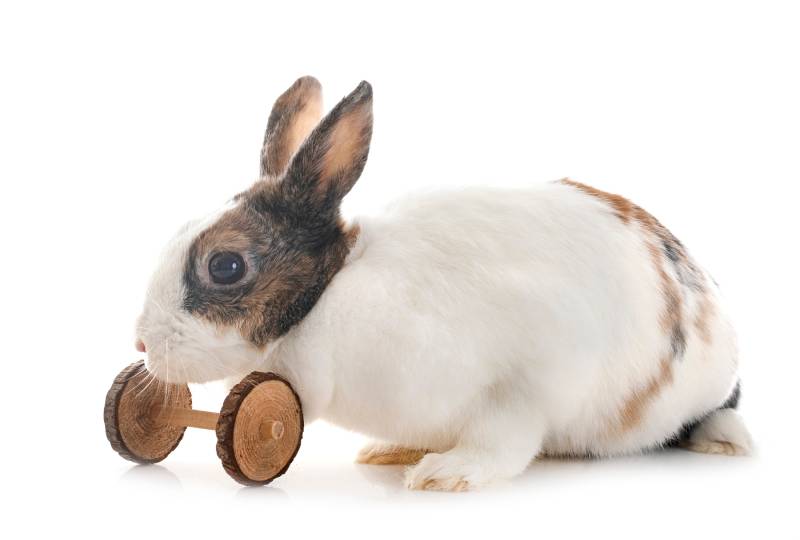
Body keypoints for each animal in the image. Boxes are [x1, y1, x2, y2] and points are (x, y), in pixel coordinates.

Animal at [135, 76, 753, 491]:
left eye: (225, 266)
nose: (141, 342)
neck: (329, 301)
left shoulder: (525, 385)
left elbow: (500, 444)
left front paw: (446, 474)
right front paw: (391, 452)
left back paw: (727, 442)